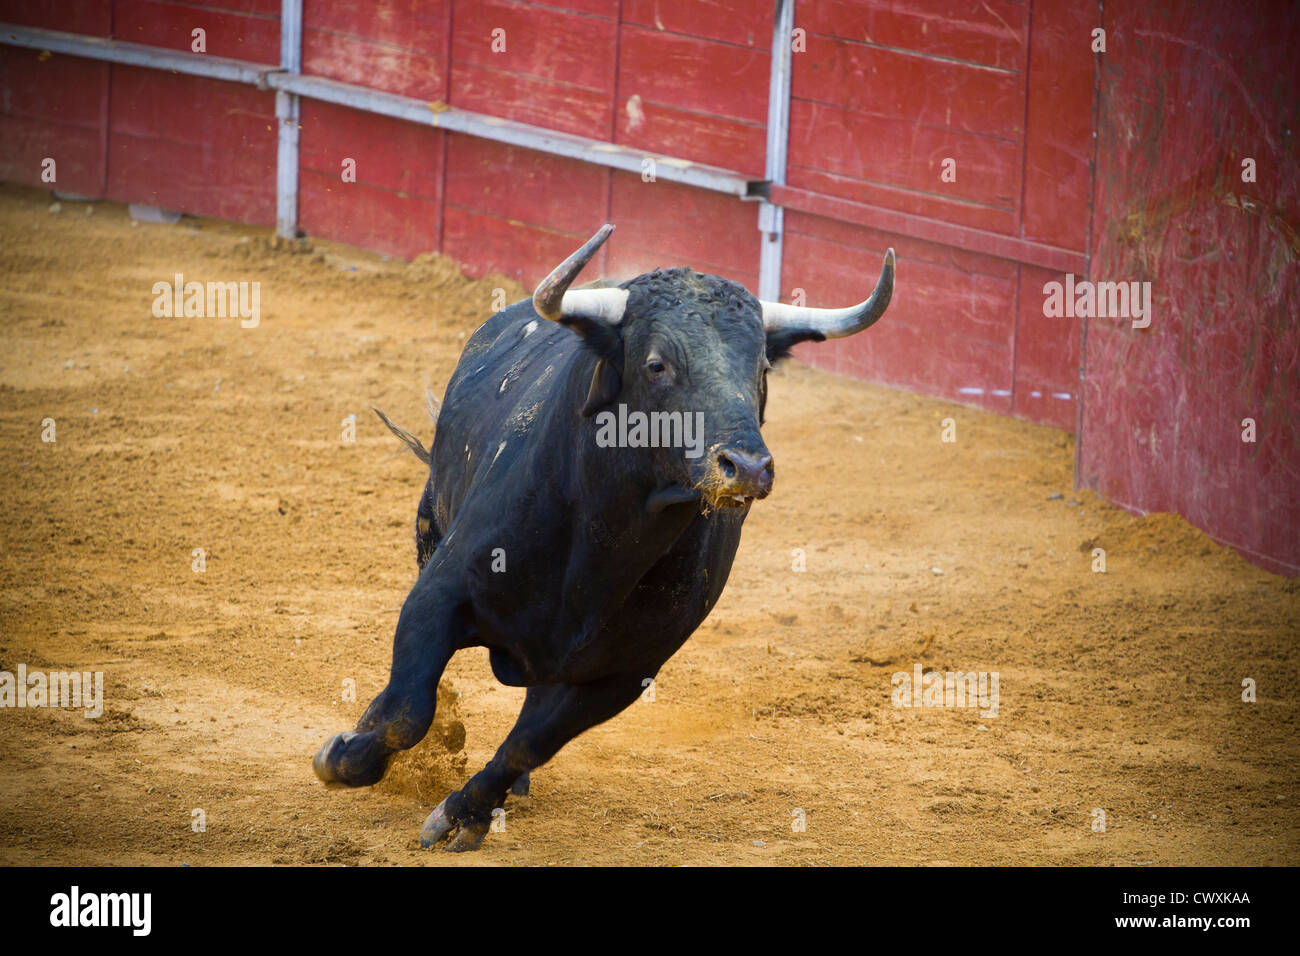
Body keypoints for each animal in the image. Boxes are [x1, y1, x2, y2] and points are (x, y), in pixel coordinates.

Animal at [313, 224, 894, 851]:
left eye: (761, 369)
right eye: (657, 363)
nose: (746, 467)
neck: (601, 539)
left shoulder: (622, 674)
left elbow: (526, 746)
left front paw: (463, 815)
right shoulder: (439, 593)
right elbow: (407, 710)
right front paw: (343, 757)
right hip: (429, 525)